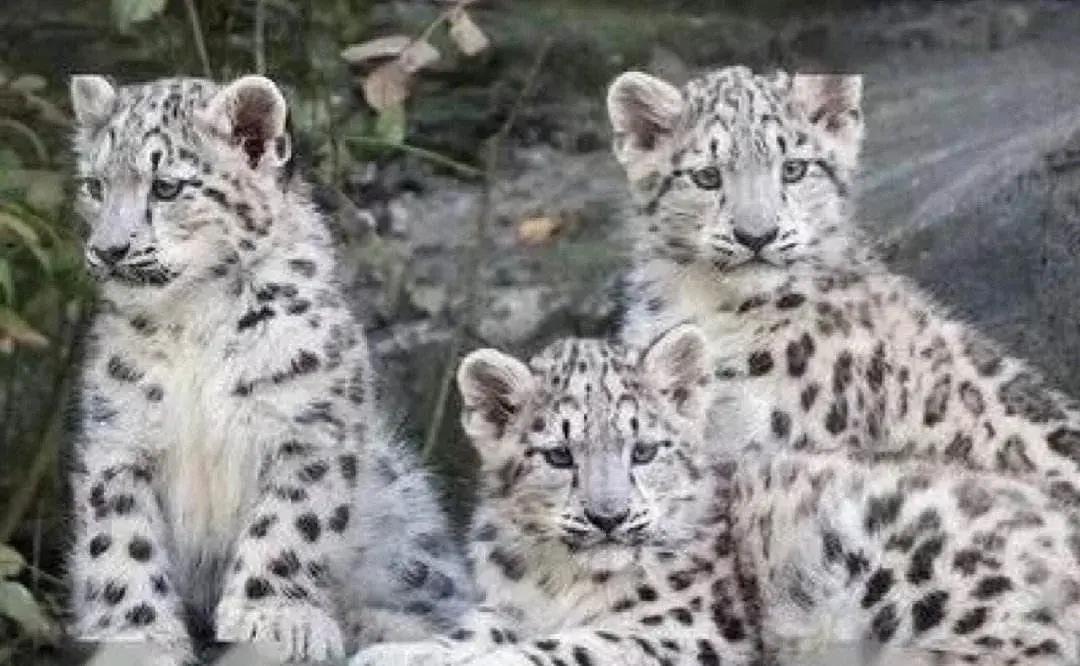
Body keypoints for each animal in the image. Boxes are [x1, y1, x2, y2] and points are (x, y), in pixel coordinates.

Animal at [66, 74, 470, 664]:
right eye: (95, 186)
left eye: (166, 187)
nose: (108, 250)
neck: (192, 317)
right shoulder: (120, 436)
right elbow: (119, 540)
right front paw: (134, 637)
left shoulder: (308, 425)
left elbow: (289, 524)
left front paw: (275, 617)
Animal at [351, 327, 1080, 665]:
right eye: (559, 455)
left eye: (644, 450)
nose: (609, 517)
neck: (561, 581)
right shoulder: (508, 604)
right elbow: (473, 628)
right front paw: (401, 651)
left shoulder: (682, 630)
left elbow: (562, 648)